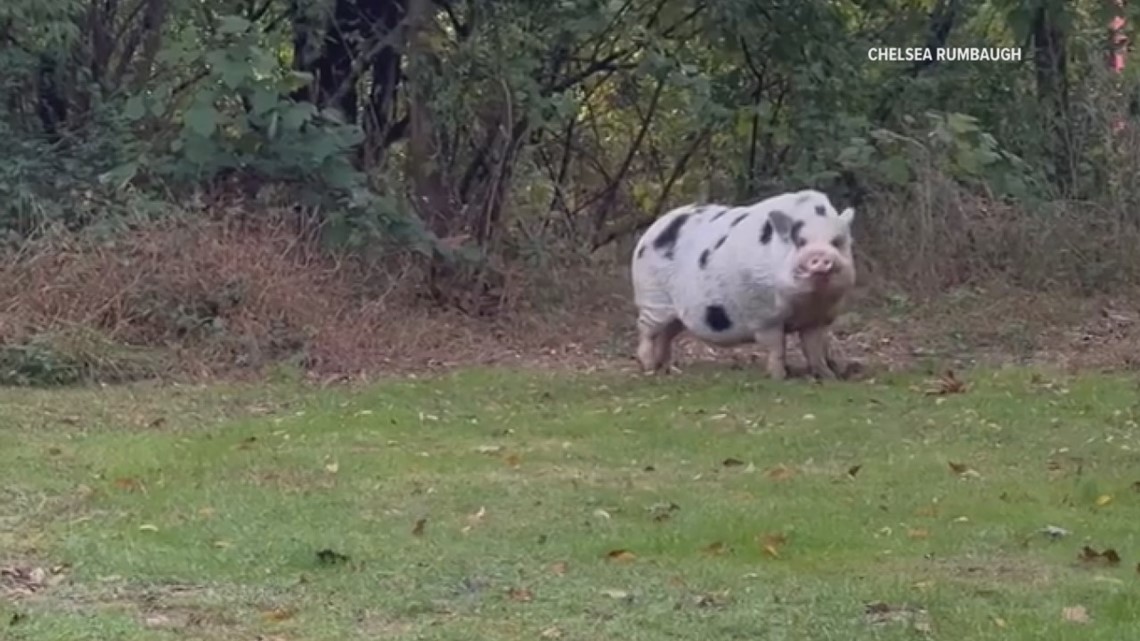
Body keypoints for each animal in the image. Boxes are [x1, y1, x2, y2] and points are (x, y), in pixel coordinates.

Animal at [630, 189, 857, 380]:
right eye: (800, 242)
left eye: (837, 242)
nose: (820, 256)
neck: (807, 301)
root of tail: (650, 231)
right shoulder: (765, 316)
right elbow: (777, 346)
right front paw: (779, 377)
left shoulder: (817, 318)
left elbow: (814, 348)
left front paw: (828, 376)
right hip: (653, 299)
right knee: (646, 330)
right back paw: (649, 368)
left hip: (675, 315)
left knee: (665, 335)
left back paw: (667, 369)